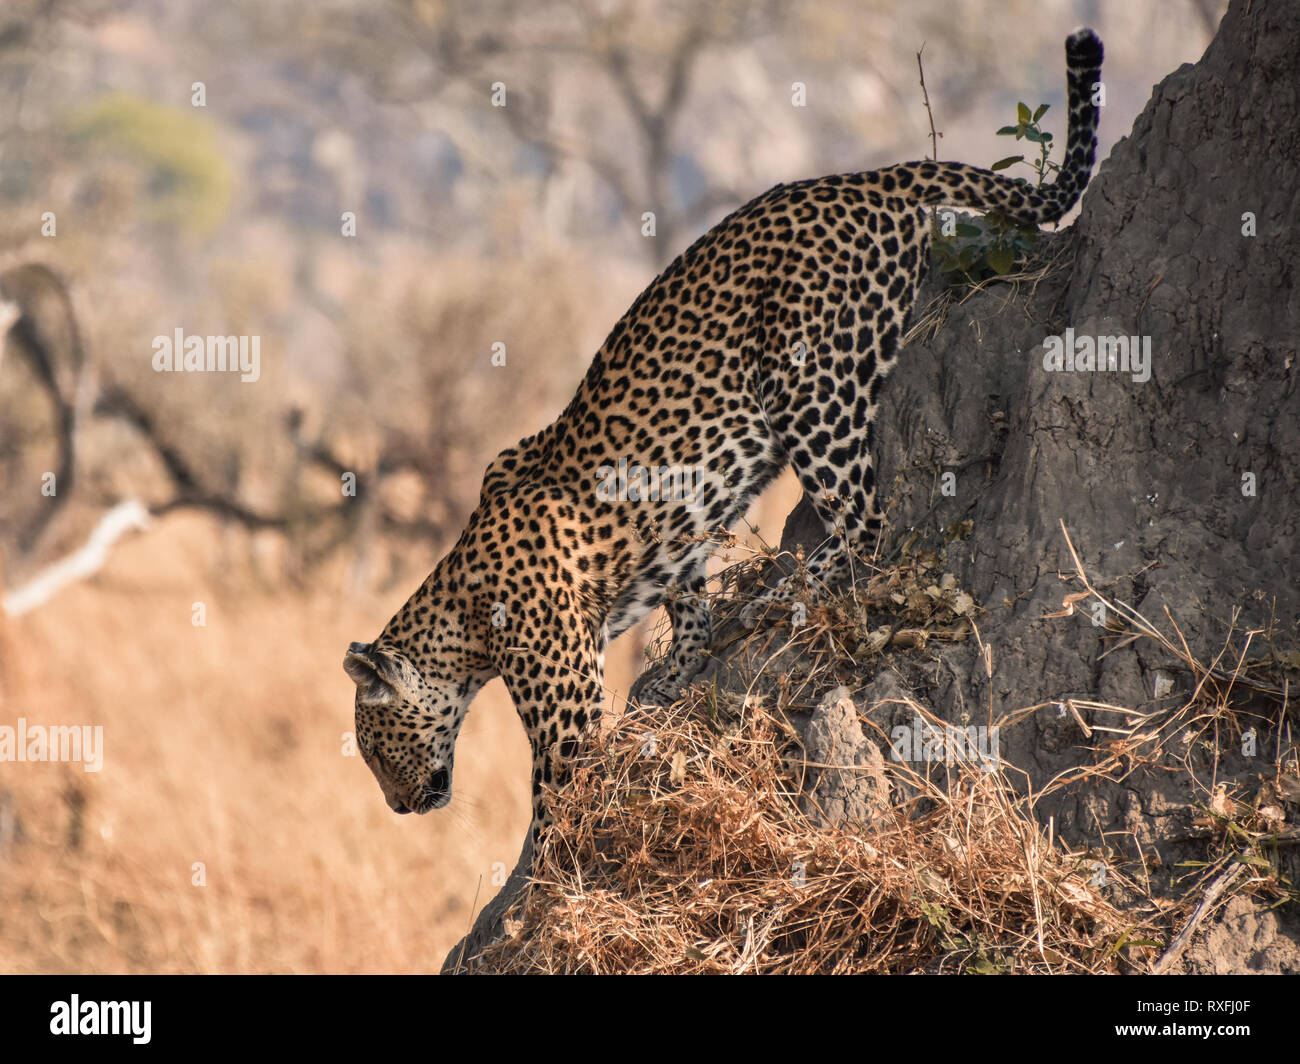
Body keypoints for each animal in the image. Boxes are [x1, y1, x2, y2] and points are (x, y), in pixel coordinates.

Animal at [344, 29, 1104, 849]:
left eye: (373, 749)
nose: (396, 807)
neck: (462, 615)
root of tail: (864, 178)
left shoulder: (565, 697)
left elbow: (556, 787)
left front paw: (550, 857)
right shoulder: (670, 536)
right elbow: (687, 604)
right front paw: (675, 675)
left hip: (812, 383)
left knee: (866, 520)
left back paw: (781, 591)